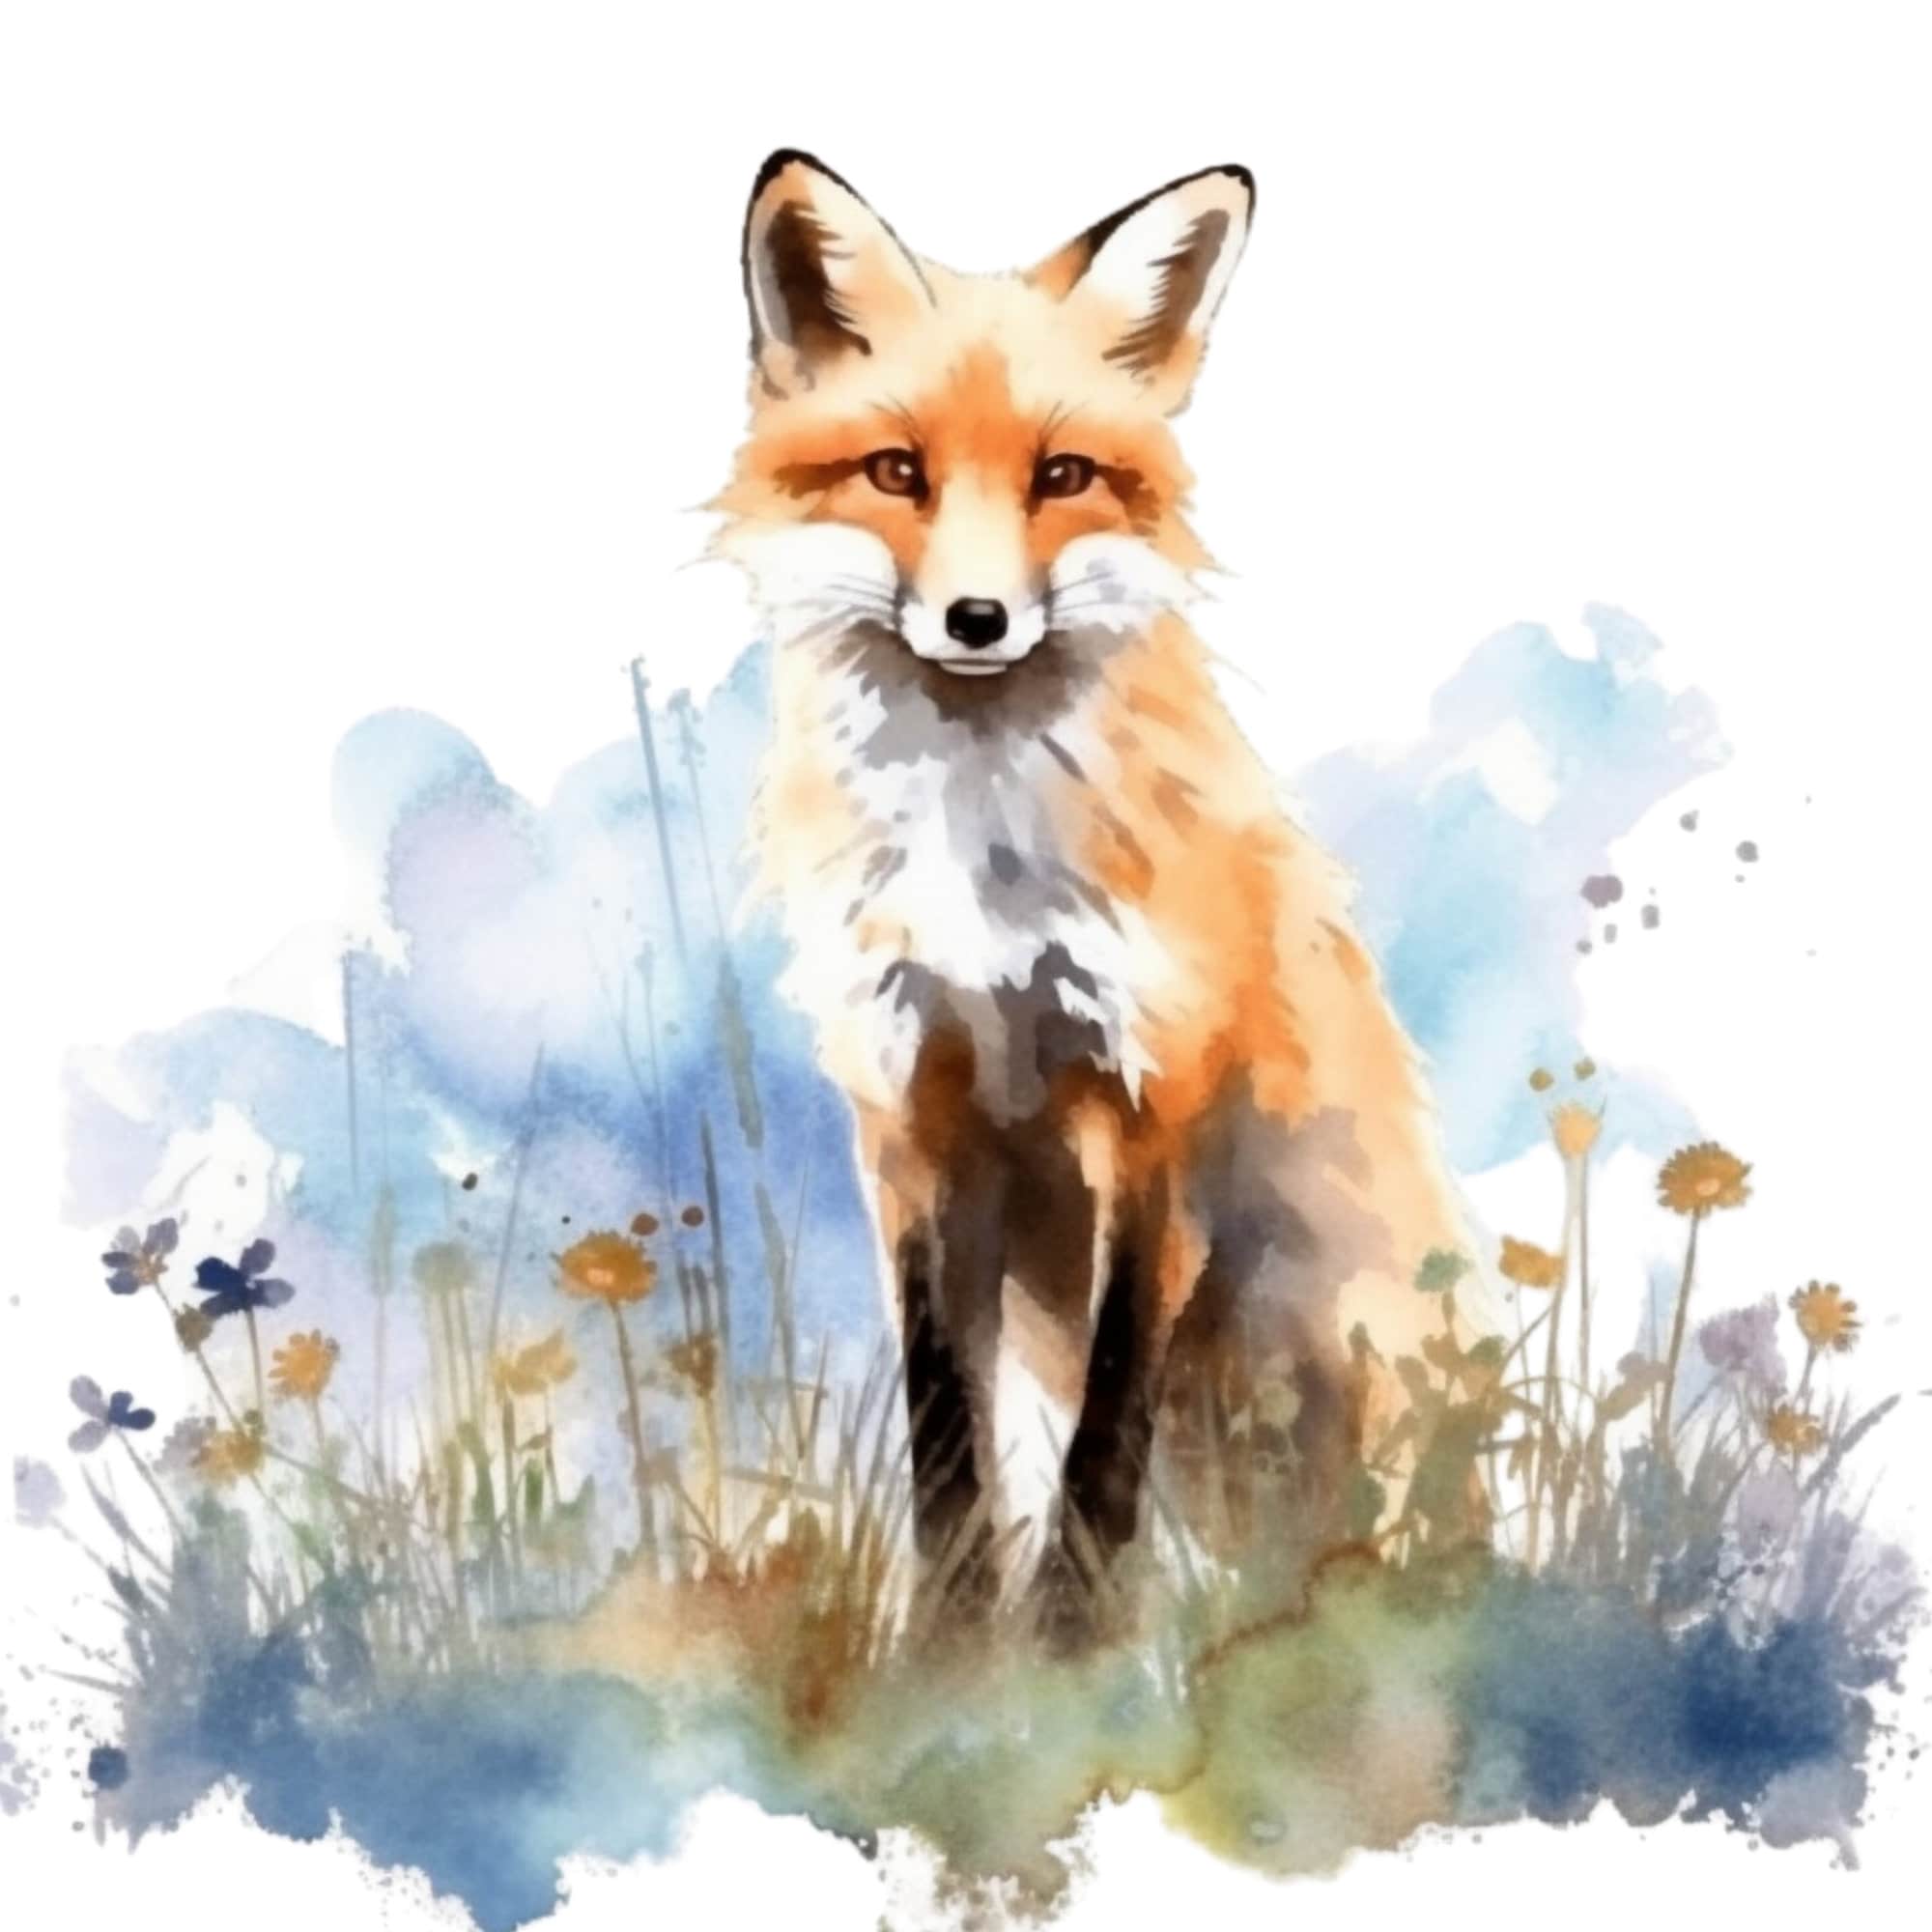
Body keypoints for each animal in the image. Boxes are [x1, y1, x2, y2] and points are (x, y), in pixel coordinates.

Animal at [714, 151, 1477, 1641]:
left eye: (1061, 476)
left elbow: (1104, 1444)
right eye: (898, 472)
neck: (983, 869)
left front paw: (1069, 1651)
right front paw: (951, 1652)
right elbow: (944, 1435)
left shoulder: (1152, 1105)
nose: (976, 620)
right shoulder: (912, 1115)